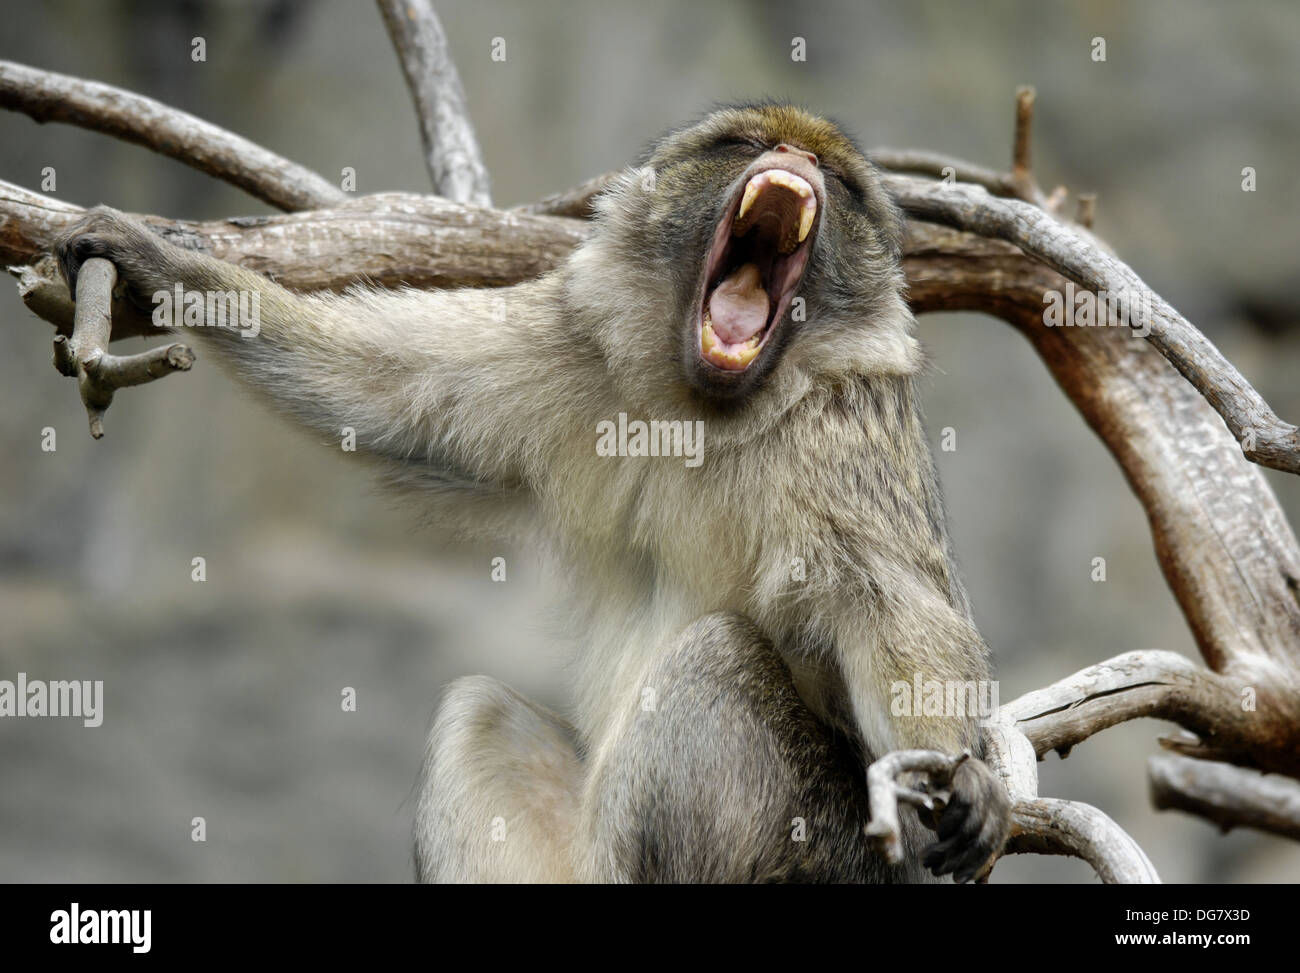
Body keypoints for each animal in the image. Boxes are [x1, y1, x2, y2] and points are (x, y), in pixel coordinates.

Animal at [55, 102, 1011, 884]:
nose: (793, 157)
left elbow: (884, 603)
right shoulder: (568, 350)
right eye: (741, 145)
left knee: (718, 654)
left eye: (839, 181)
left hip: (815, 850)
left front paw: (964, 778)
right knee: (481, 715)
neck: (698, 407)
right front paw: (155, 259)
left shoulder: (842, 434)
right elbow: (389, 398)